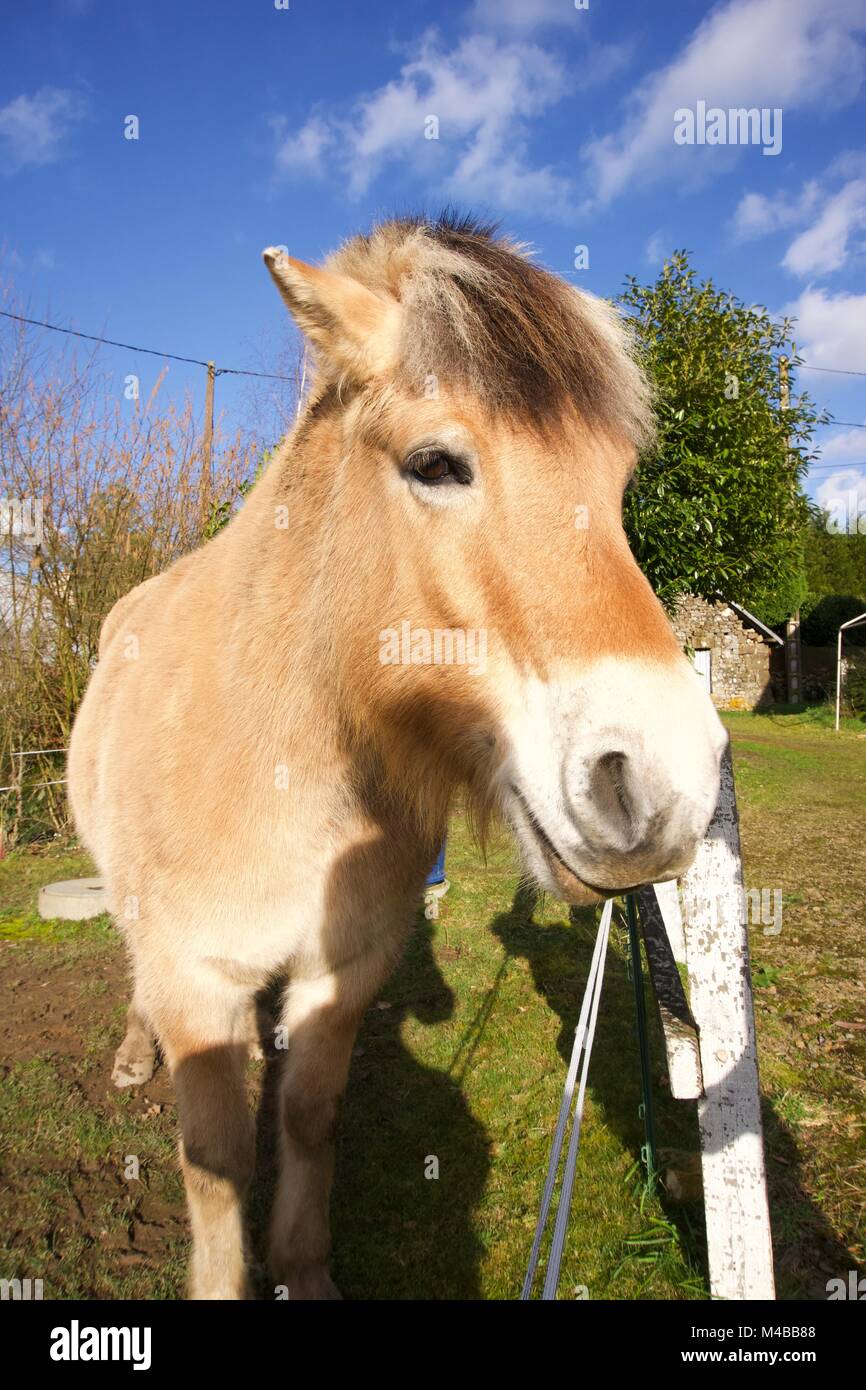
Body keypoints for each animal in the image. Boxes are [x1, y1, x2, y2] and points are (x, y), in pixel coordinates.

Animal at [68, 212, 726, 1300]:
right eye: (435, 464)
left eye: (616, 483)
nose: (665, 786)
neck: (278, 761)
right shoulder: (195, 977)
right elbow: (215, 1165)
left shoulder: (340, 974)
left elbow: (306, 1118)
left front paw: (303, 1269)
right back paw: (130, 1051)